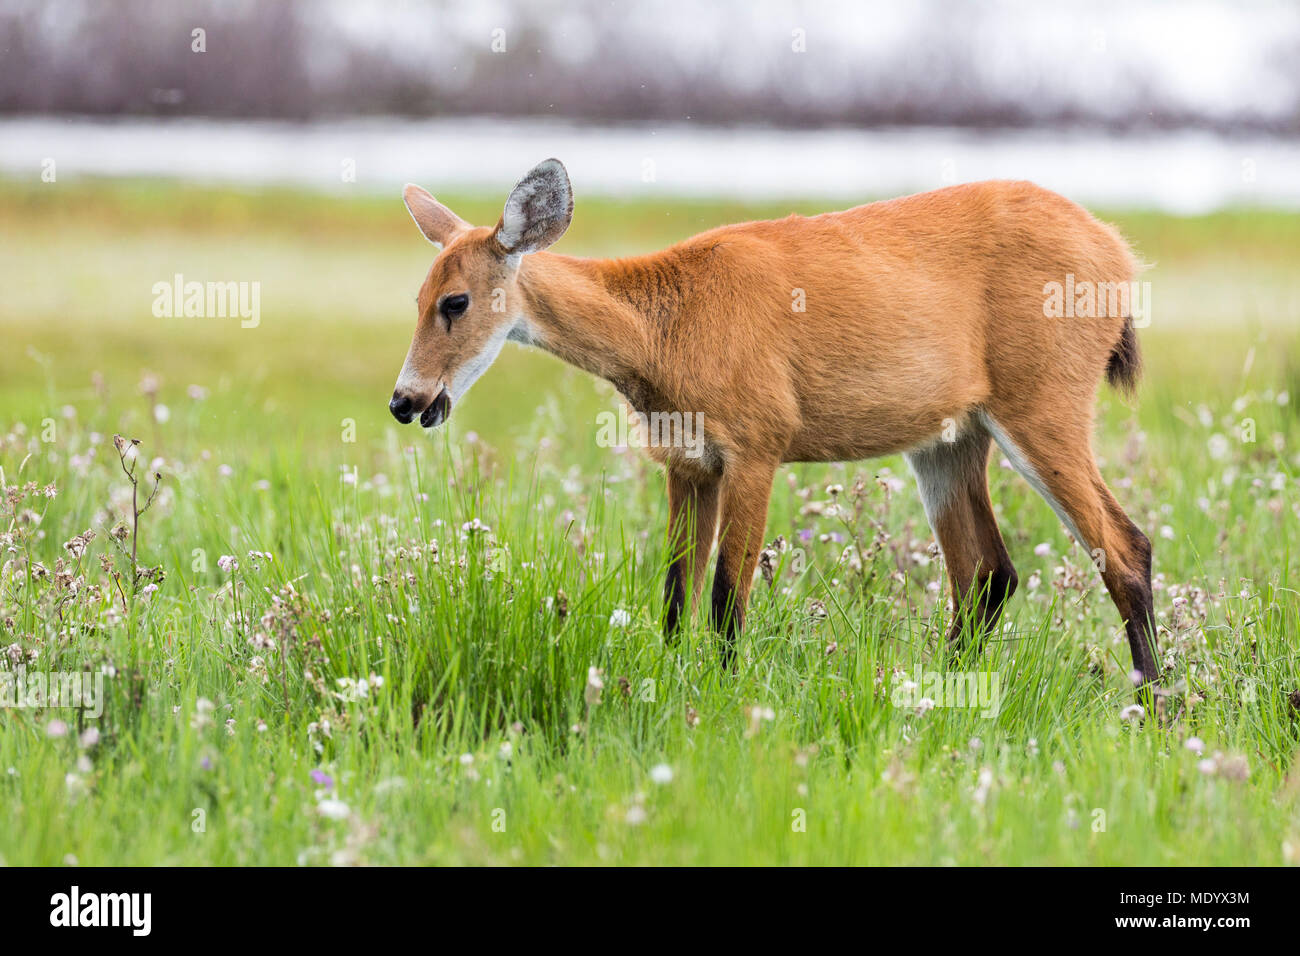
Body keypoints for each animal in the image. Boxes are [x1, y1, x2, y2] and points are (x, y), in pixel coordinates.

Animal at [388, 158, 1160, 695]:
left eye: (456, 301)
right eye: (417, 296)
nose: (405, 399)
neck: (664, 338)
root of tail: (1121, 256)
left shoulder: (757, 443)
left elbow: (727, 598)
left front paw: (726, 702)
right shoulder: (685, 462)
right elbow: (675, 598)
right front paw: (675, 686)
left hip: (1043, 405)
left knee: (1124, 546)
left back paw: (1154, 704)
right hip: (949, 441)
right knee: (989, 573)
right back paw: (942, 688)